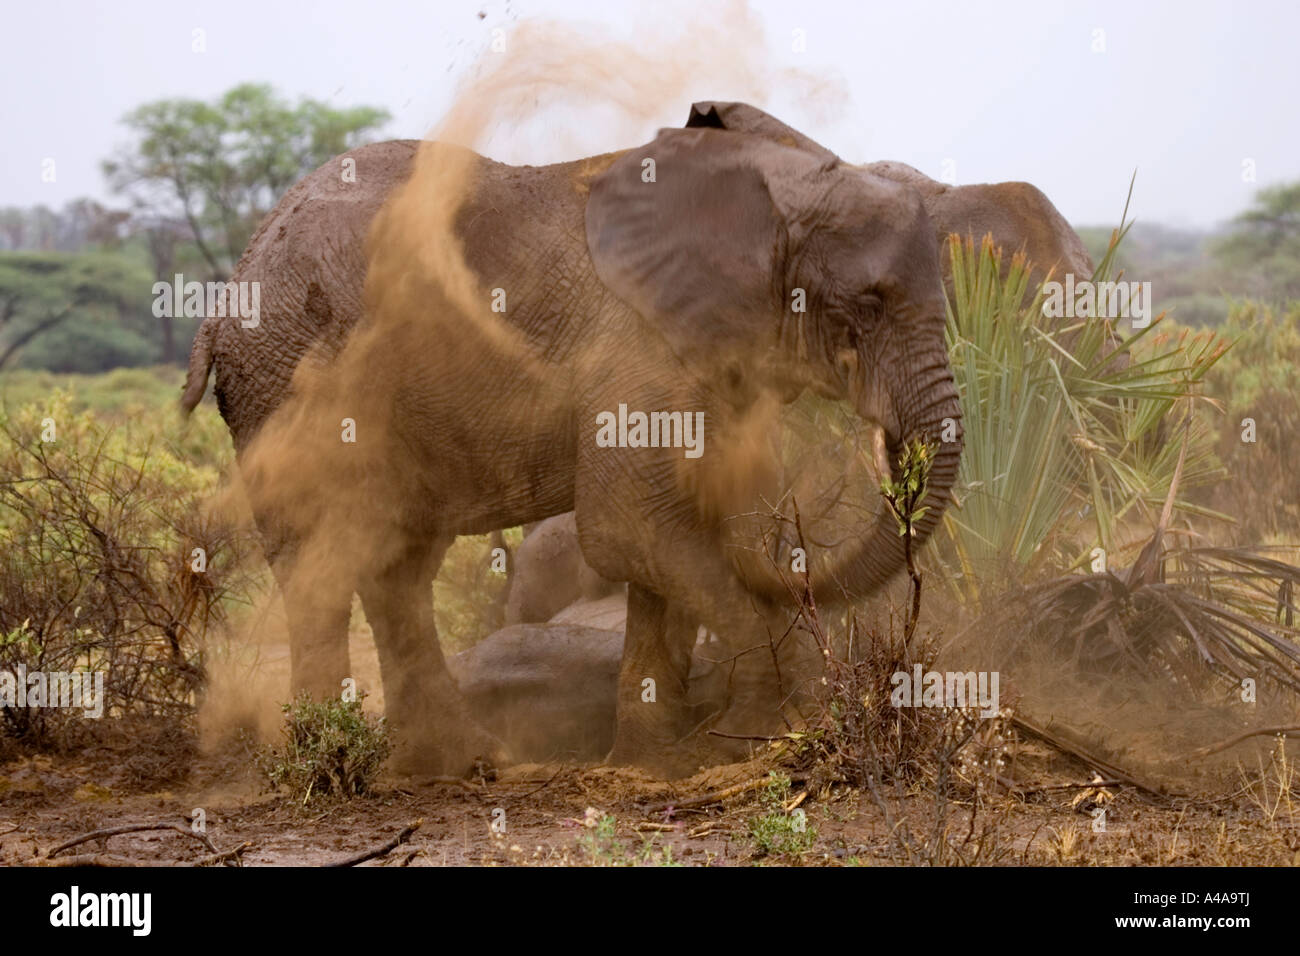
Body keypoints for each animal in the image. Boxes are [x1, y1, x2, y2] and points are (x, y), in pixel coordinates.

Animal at [182, 103, 964, 778]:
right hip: (288, 382)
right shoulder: (636, 350)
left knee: (396, 566)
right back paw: (333, 765)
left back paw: (457, 761)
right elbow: (631, 527)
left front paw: (660, 761)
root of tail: (228, 291)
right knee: (320, 561)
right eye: (869, 305)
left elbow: (663, 546)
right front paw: (779, 726)